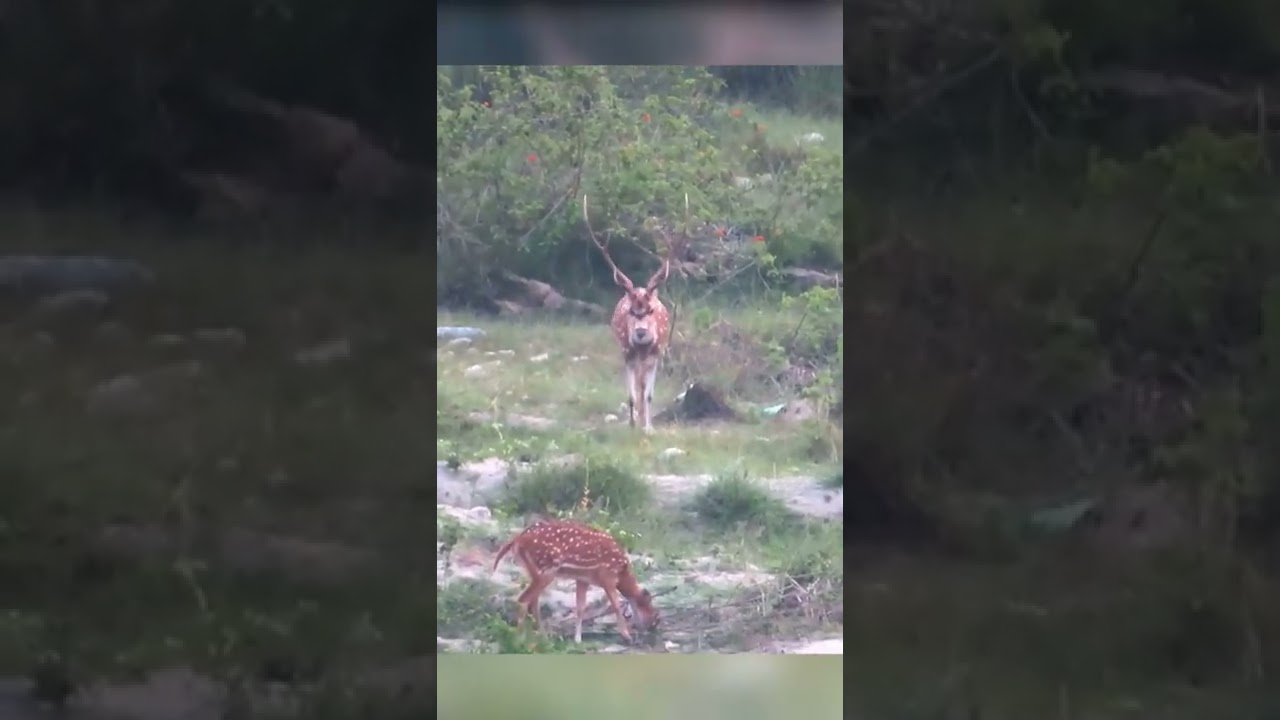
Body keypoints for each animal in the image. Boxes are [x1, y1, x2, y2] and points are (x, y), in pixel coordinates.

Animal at [492, 519, 659, 644]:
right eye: (655, 613)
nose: (653, 627)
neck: (622, 572)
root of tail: (518, 539)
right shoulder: (607, 576)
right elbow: (616, 605)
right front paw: (627, 636)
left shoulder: (582, 579)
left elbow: (580, 607)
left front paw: (578, 639)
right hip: (547, 568)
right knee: (524, 599)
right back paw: (519, 639)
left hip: (534, 571)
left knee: (533, 602)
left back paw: (543, 636)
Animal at [582, 194, 676, 434]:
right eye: (632, 311)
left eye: (651, 309)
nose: (641, 333)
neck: (642, 350)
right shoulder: (627, 354)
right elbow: (632, 395)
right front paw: (633, 425)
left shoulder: (656, 354)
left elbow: (648, 394)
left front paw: (648, 427)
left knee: (643, 389)